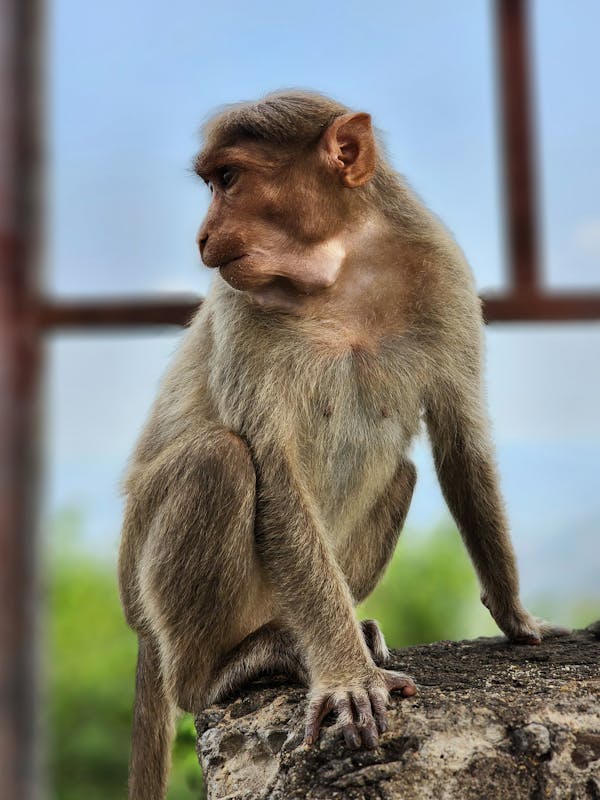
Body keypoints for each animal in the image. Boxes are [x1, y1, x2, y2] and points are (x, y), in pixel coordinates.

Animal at [118, 90, 567, 799]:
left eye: (228, 179)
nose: (202, 236)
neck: (341, 267)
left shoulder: (443, 271)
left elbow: (461, 442)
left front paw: (518, 619)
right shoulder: (240, 310)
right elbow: (275, 474)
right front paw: (347, 679)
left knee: (401, 473)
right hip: (140, 585)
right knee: (217, 460)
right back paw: (219, 672)